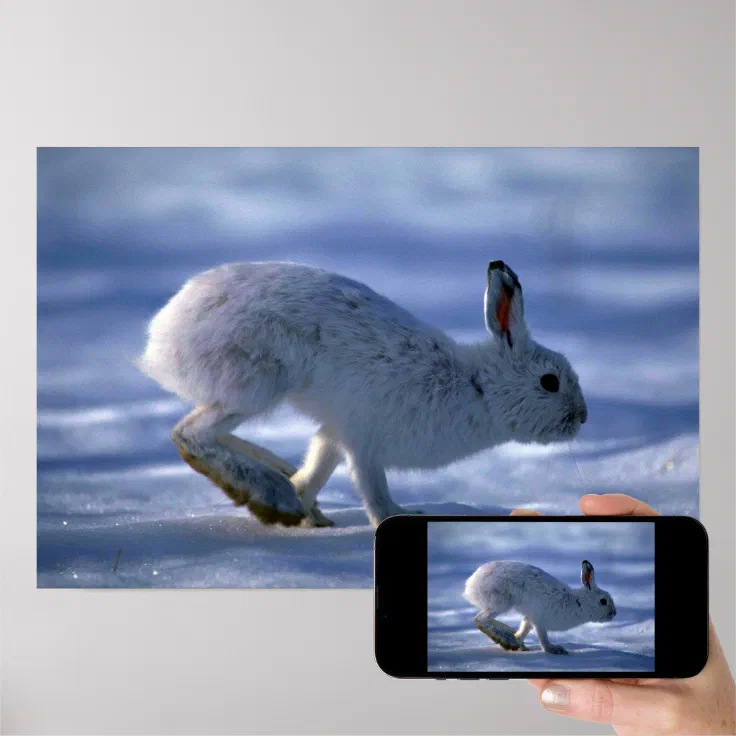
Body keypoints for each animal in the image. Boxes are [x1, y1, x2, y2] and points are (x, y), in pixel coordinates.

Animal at [138, 260, 587, 528]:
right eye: (550, 382)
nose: (582, 417)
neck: (477, 387)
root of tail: (164, 333)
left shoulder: (336, 434)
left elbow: (317, 467)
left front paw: (310, 513)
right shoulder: (365, 442)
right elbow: (374, 491)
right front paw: (395, 517)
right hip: (258, 381)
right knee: (190, 434)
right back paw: (269, 495)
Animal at [462, 559, 616, 654]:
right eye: (603, 601)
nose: (614, 613)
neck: (578, 602)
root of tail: (472, 582)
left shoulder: (530, 618)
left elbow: (524, 629)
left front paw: (519, 643)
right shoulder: (540, 621)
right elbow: (543, 638)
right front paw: (554, 650)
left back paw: (510, 639)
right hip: (502, 601)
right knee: (480, 619)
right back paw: (506, 638)